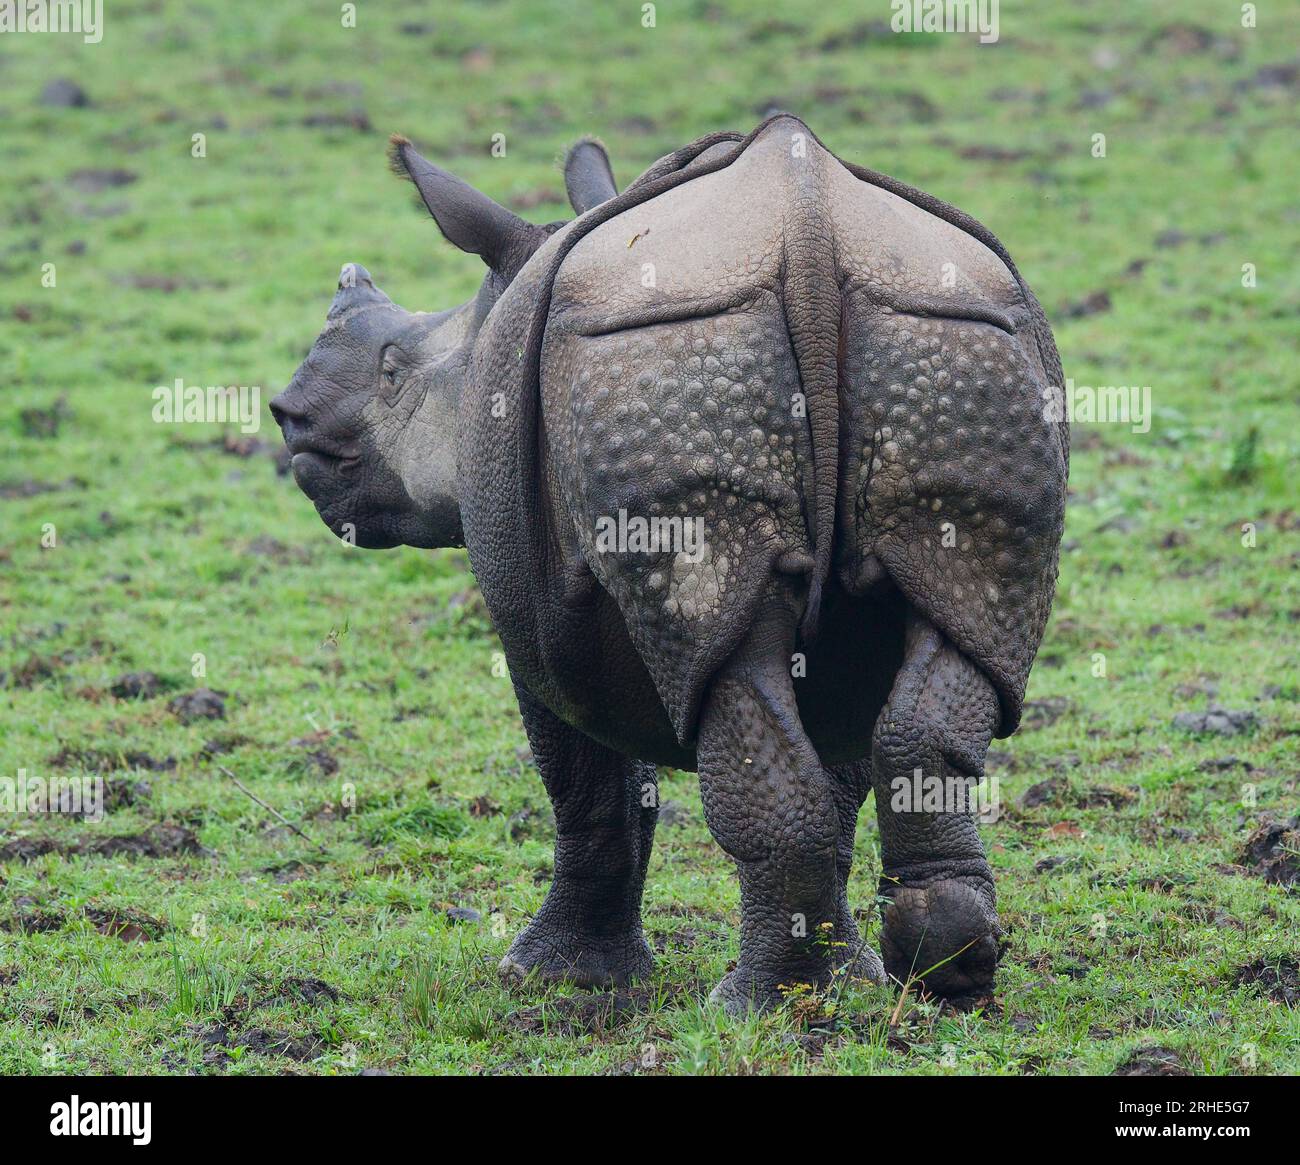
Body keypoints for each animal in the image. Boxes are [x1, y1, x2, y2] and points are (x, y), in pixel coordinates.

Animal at [270, 115, 1068, 1012]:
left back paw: (755, 1008)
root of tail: (810, 226)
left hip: (669, 357)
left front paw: (554, 977)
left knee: (728, 662)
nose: (290, 416)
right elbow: (835, 760)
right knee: (945, 635)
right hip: (952, 342)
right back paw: (939, 971)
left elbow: (592, 787)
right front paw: (848, 975)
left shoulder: (537, 616)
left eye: (392, 368)